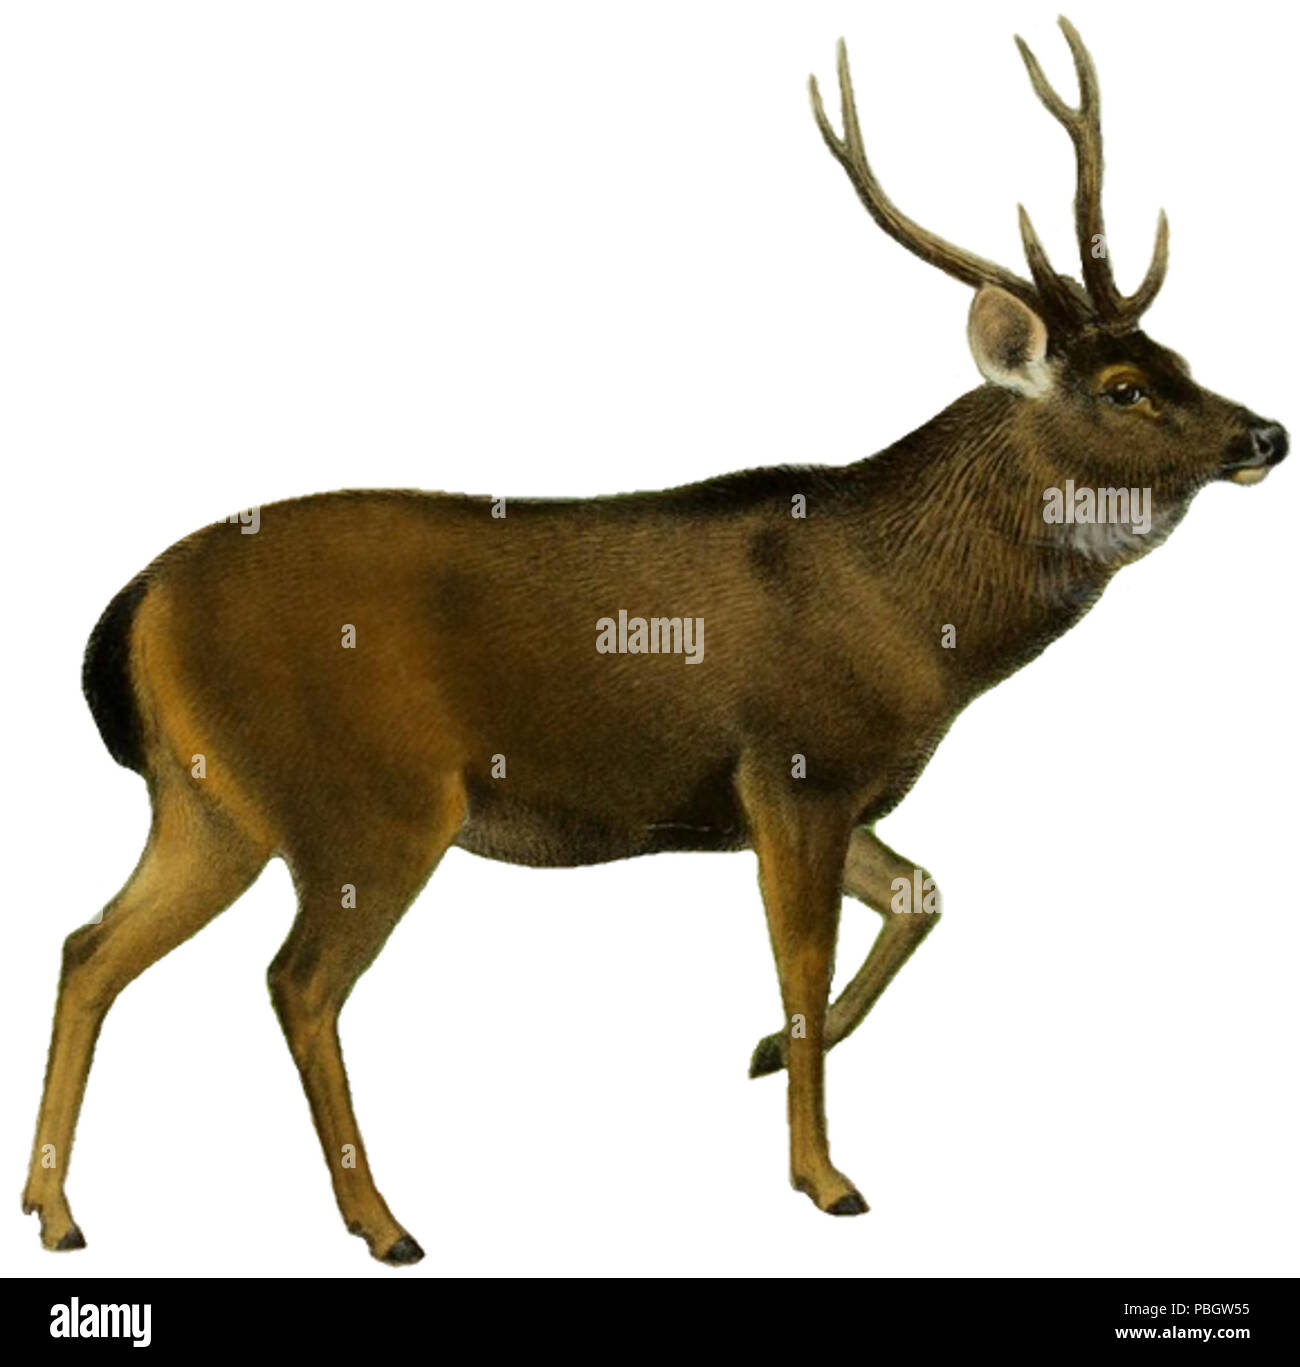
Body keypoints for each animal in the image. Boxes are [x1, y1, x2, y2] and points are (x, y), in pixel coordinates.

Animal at [24, 17, 1287, 1264]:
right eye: (1123, 388)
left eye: (1178, 359)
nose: (1265, 432)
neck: (917, 625)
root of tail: (136, 603)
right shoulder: (794, 763)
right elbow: (801, 960)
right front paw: (824, 1176)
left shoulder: (815, 795)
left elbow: (921, 893)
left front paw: (764, 1056)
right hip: (368, 796)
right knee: (296, 981)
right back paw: (381, 1220)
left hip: (210, 800)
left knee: (90, 944)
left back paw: (58, 1207)